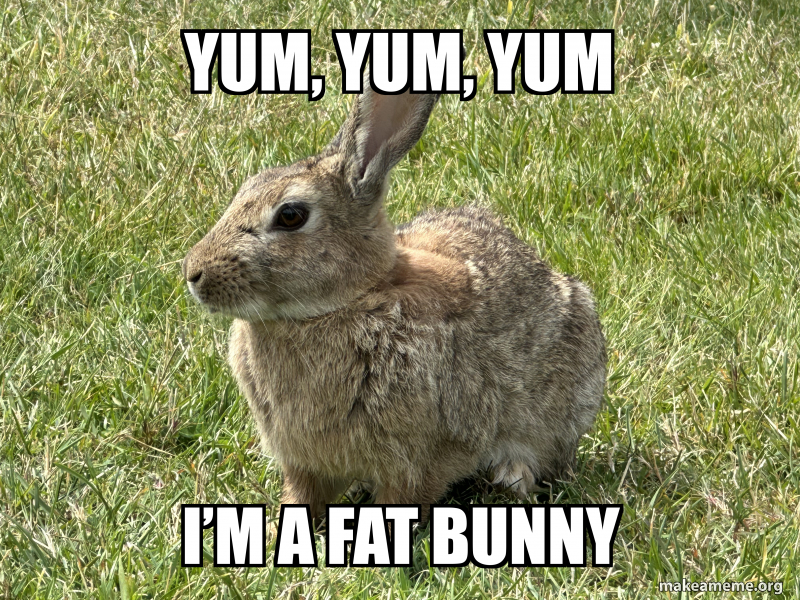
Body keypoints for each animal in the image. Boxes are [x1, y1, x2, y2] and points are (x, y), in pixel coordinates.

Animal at [182, 81, 607, 520]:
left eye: (291, 216)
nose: (193, 272)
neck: (345, 303)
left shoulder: (422, 458)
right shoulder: (305, 463)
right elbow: (302, 497)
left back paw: (512, 475)